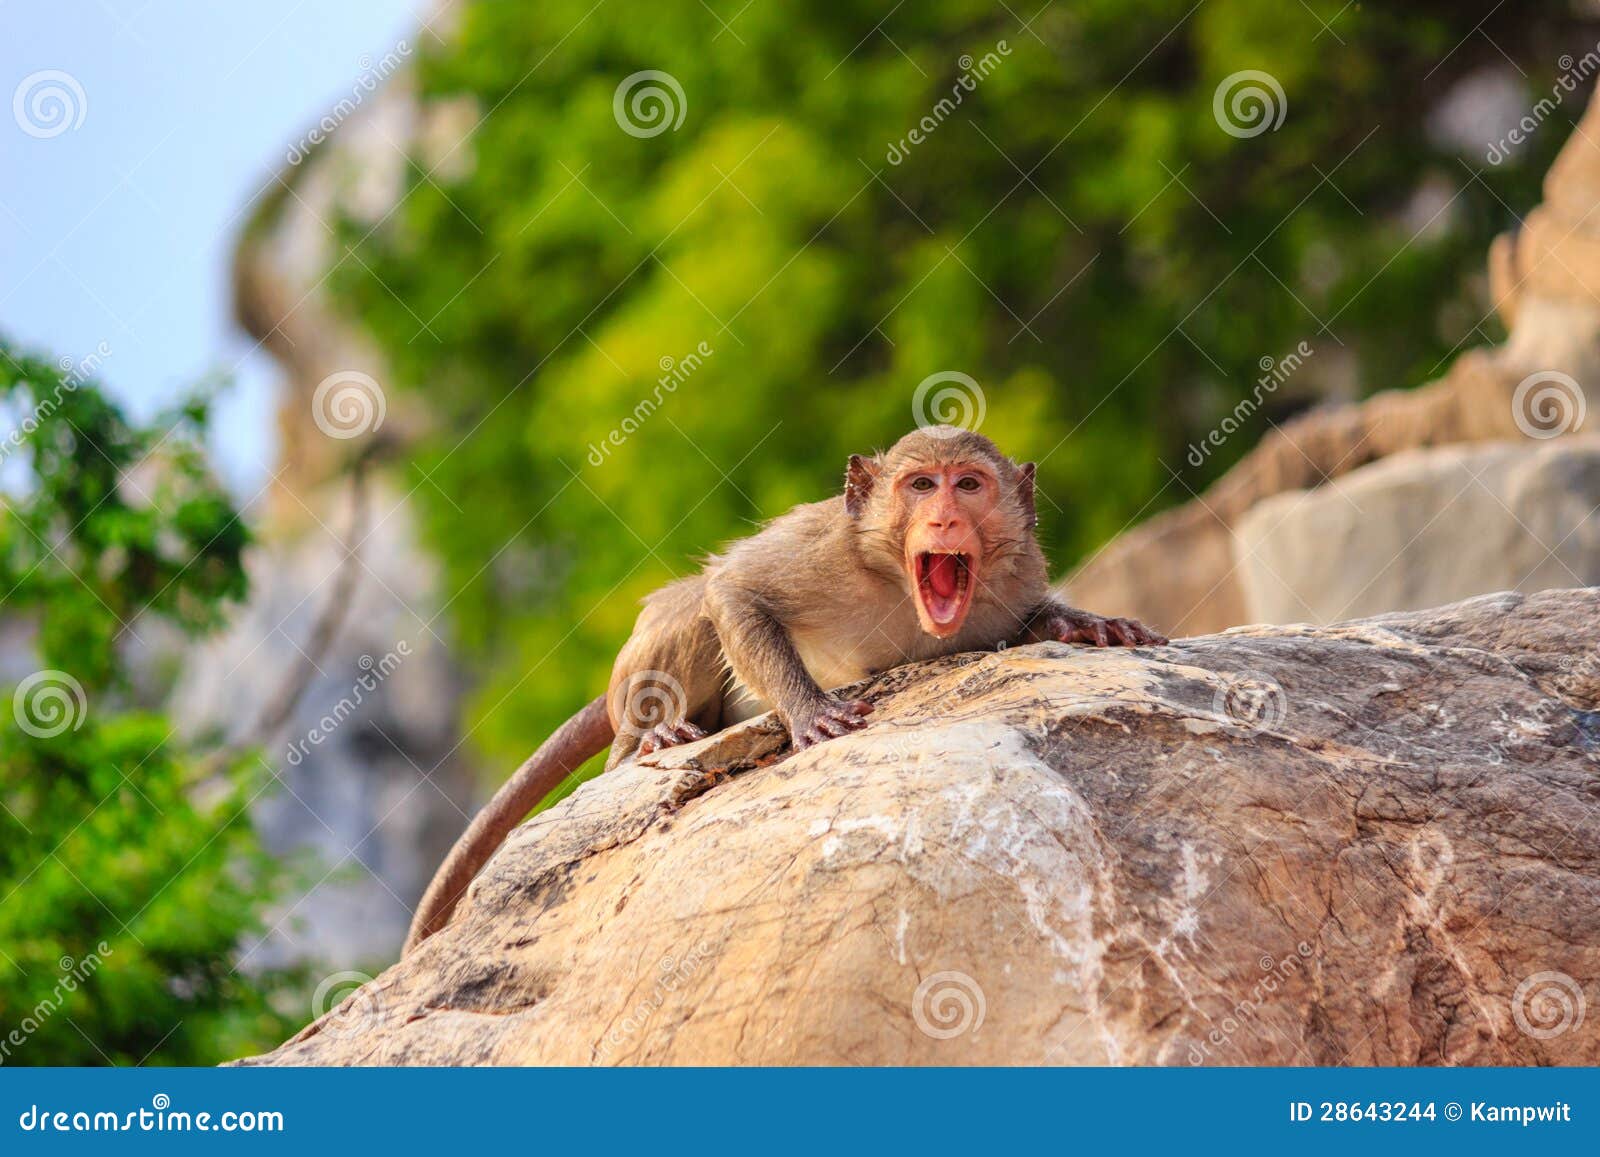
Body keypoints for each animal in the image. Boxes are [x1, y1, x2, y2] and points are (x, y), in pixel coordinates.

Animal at [403, 426, 1165, 954]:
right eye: (922, 486)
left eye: (969, 485)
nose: (945, 518)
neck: (901, 587)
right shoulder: (826, 546)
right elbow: (735, 590)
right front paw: (810, 711)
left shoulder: (1017, 575)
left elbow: (1034, 616)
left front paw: (1083, 622)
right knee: (692, 606)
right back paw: (648, 738)